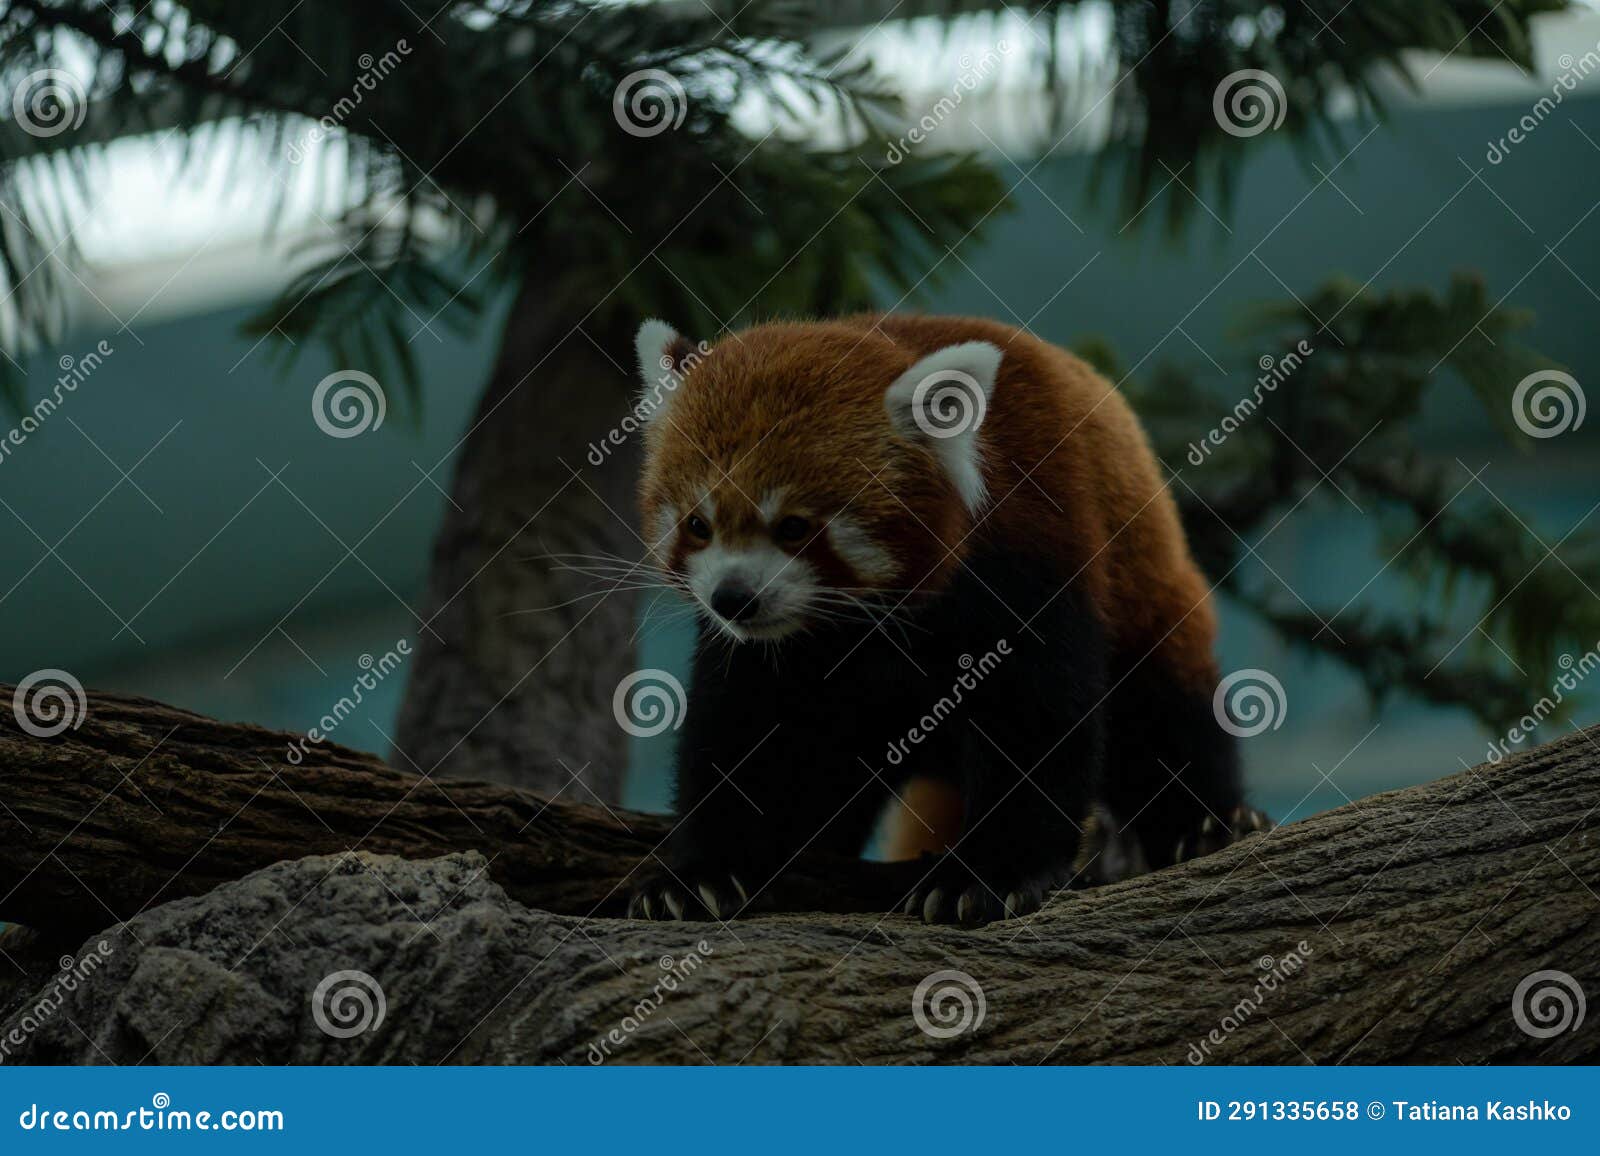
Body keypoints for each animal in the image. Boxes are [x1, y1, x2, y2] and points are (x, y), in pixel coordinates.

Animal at [624, 313, 1270, 926]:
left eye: (793, 526)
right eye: (698, 525)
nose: (733, 598)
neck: (871, 622)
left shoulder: (1033, 552)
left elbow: (1035, 717)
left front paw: (988, 875)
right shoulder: (768, 648)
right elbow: (740, 731)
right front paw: (697, 873)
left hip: (1150, 589)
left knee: (1166, 708)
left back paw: (1209, 825)